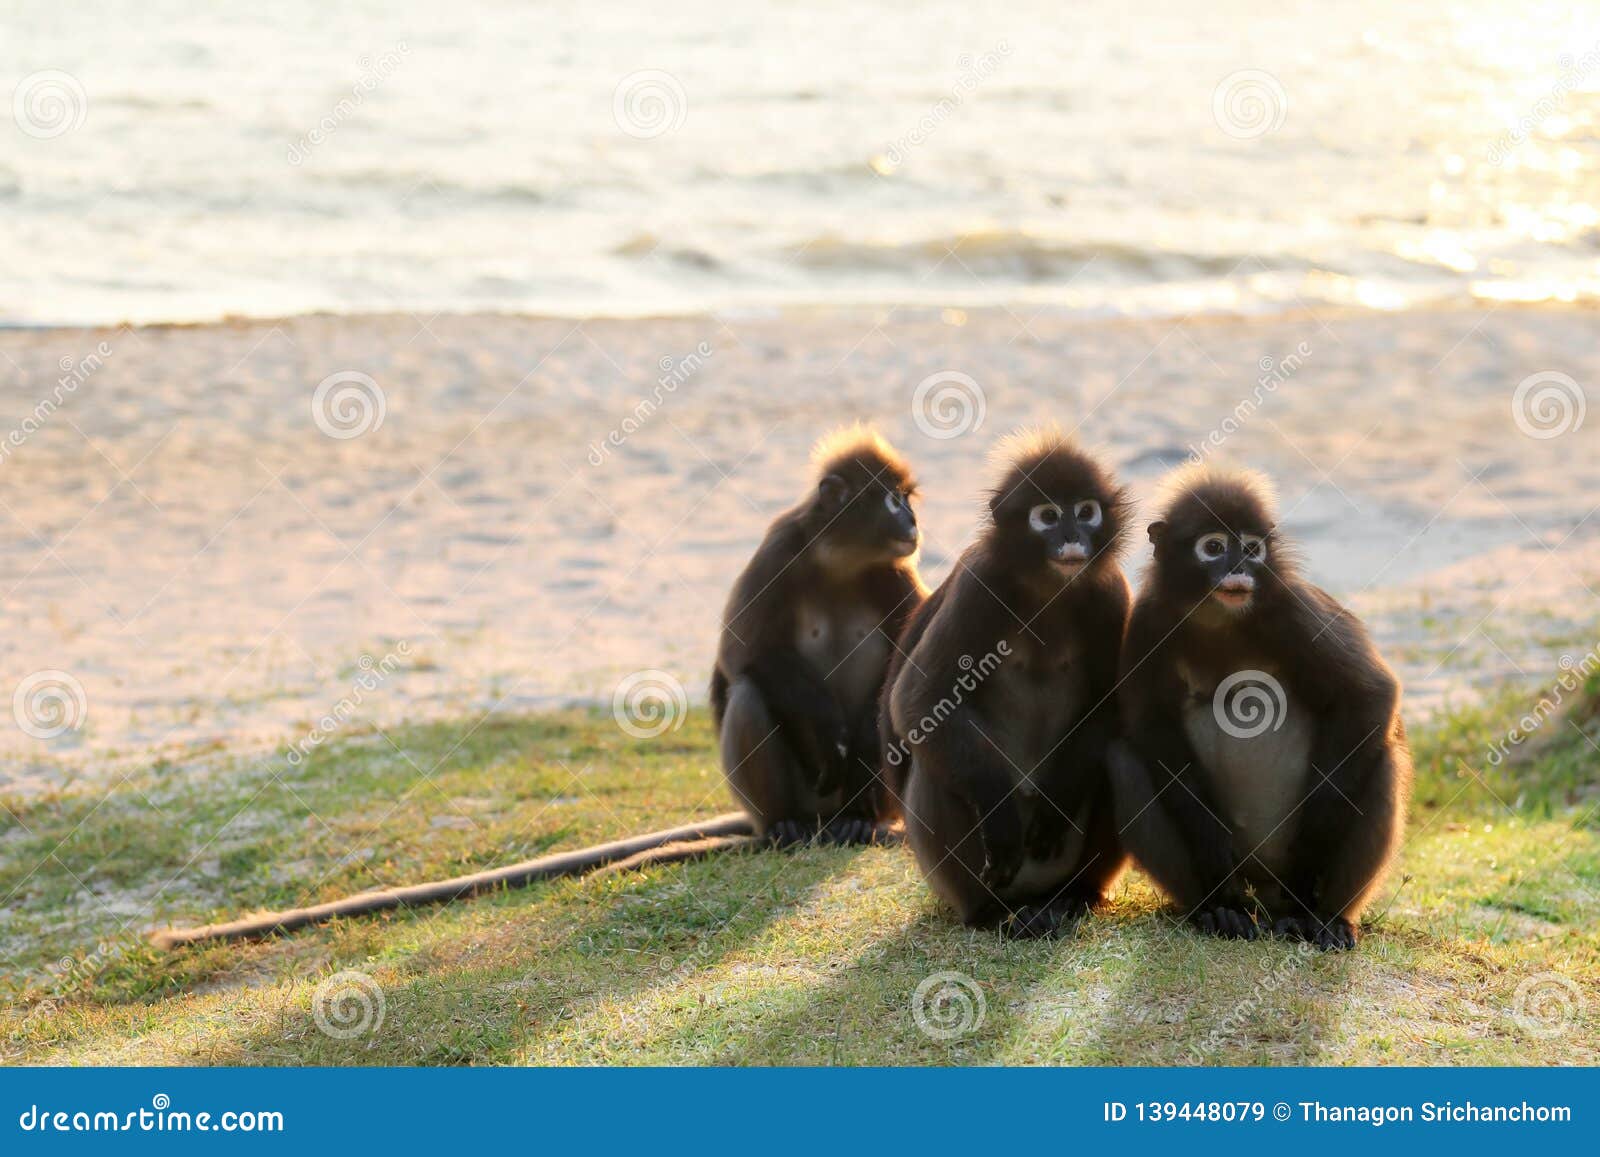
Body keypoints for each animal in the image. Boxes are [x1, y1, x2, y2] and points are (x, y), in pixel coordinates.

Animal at [710, 425, 927, 846]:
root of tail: (824, 818)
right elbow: (741, 652)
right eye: (893, 500)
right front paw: (828, 730)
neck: (840, 563)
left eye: (906, 498)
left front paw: (861, 743)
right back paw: (784, 824)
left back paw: (859, 818)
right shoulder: (778, 550)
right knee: (747, 692)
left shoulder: (897, 571)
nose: (912, 519)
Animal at [887, 429, 1132, 937]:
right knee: (934, 761)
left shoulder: (1111, 592)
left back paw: (1073, 897)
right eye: (1048, 516)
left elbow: (1114, 704)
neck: (1049, 590)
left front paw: (1057, 799)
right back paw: (988, 912)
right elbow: (920, 702)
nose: (1073, 538)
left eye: (1085, 511)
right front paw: (999, 818)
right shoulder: (979, 584)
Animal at [1107, 464, 1411, 951]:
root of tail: (1263, 886)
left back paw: (1318, 918)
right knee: (1123, 759)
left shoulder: (1293, 607)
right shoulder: (1146, 621)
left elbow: (1369, 694)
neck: (1218, 619)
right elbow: (1151, 728)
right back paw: (1220, 908)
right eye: (1214, 547)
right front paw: (1213, 854)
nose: (1239, 568)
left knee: (1383, 755)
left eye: (1251, 548)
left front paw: (1309, 860)